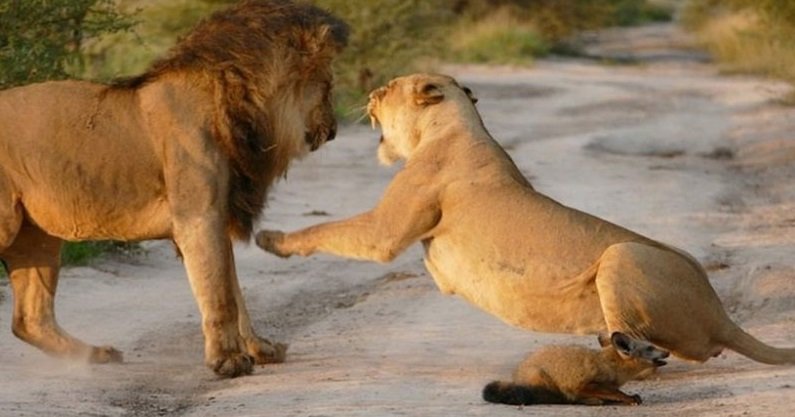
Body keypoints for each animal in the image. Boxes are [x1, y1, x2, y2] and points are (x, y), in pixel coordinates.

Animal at [0, 0, 348, 378]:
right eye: (327, 83)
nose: (333, 130)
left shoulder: (217, 214)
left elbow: (234, 290)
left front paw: (260, 348)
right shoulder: (198, 217)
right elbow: (220, 294)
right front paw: (228, 361)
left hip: (36, 234)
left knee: (29, 320)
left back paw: (96, 355)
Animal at [256, 73, 795, 366]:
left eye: (387, 90)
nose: (368, 93)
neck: (454, 125)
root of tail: (722, 314)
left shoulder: (383, 231)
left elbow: (325, 229)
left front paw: (270, 238)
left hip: (623, 254)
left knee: (648, 338)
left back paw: (627, 348)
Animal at [483, 332, 669, 406]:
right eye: (650, 348)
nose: (667, 352)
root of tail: (516, 376)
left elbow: (613, 392)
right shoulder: (583, 384)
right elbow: (615, 393)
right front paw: (628, 398)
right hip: (541, 377)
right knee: (561, 399)